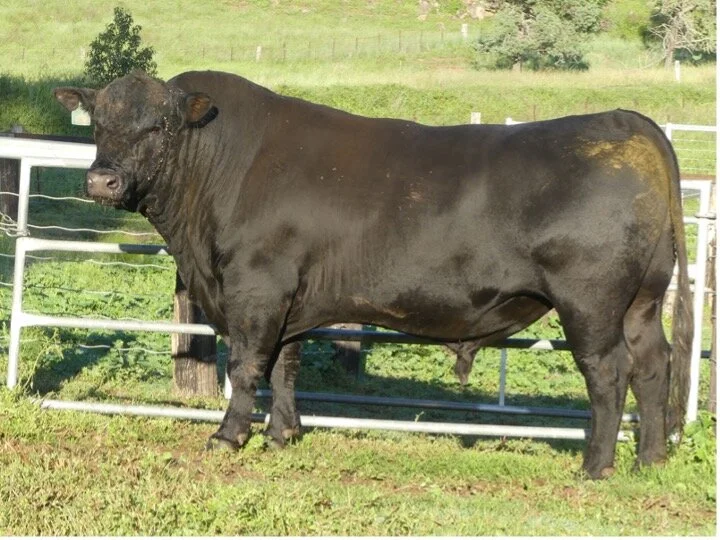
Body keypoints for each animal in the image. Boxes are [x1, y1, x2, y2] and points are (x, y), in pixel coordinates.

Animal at [54, 70, 692, 479]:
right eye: (97, 124)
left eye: (158, 126)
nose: (102, 181)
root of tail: (625, 121)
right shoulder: (291, 294)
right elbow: (284, 364)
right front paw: (283, 434)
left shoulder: (256, 285)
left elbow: (247, 364)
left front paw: (228, 436)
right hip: (641, 299)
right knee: (653, 365)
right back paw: (651, 460)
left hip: (591, 301)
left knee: (608, 372)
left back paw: (596, 466)